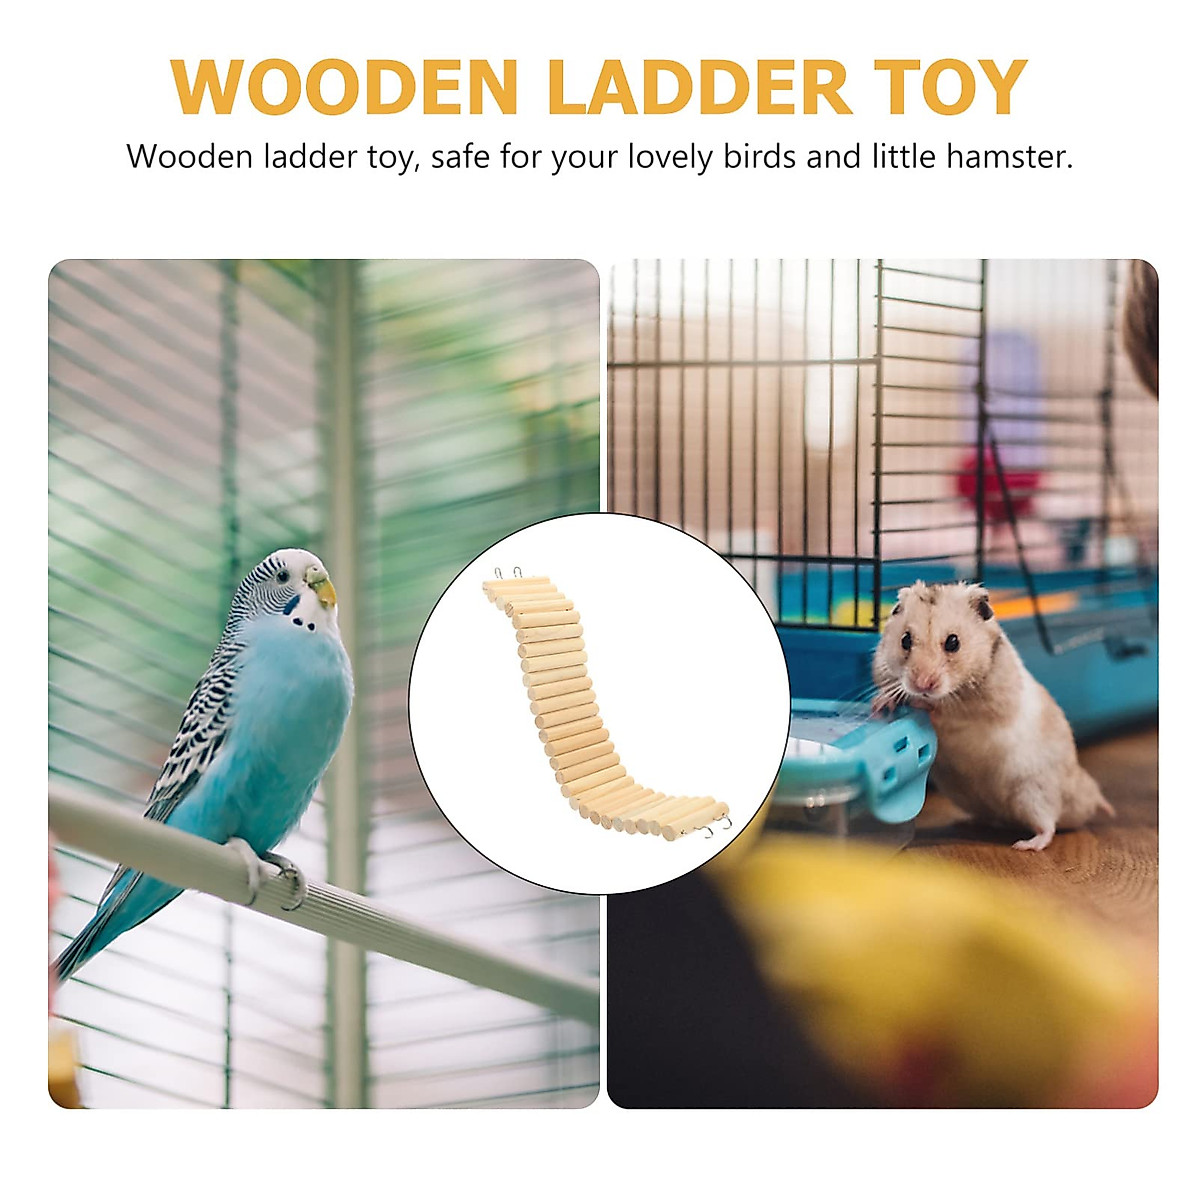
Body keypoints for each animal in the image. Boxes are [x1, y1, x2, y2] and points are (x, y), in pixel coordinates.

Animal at [872, 580, 1113, 851]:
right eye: (905, 640)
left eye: (953, 642)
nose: (922, 684)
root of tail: (1084, 798)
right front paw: (881, 703)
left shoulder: (983, 707)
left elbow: (947, 712)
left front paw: (919, 702)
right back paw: (967, 823)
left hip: (1034, 792)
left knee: (1048, 824)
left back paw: (1026, 844)